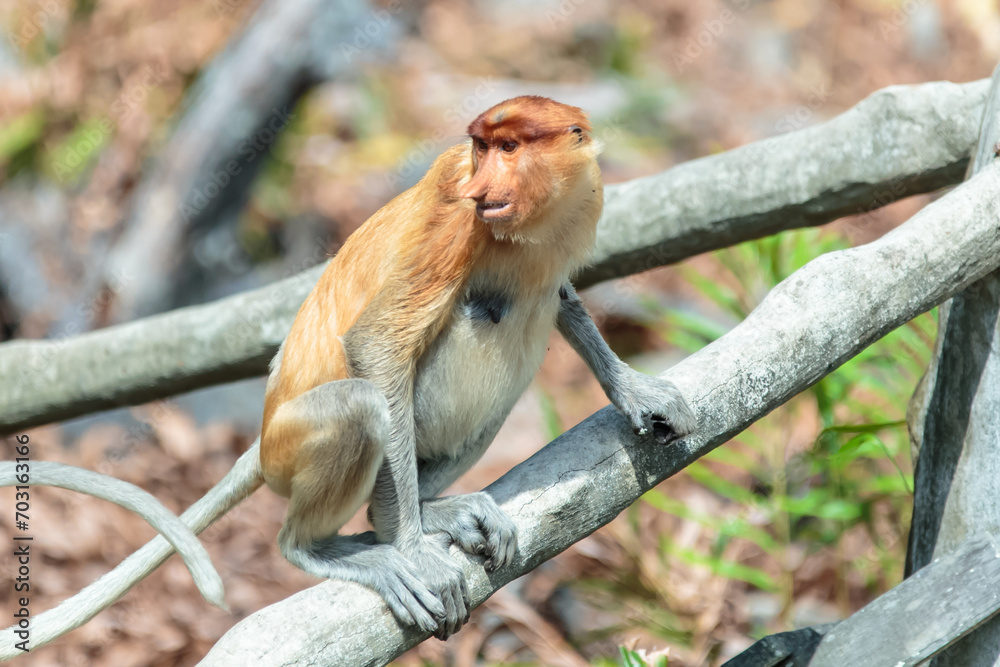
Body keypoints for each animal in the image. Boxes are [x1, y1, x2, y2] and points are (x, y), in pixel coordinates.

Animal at [0, 96, 695, 652]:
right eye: (481, 148)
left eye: (510, 147)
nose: (485, 186)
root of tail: (263, 436)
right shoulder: (455, 219)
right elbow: (377, 344)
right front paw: (409, 546)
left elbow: (564, 295)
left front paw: (637, 392)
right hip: (297, 444)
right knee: (367, 401)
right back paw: (356, 538)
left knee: (525, 325)